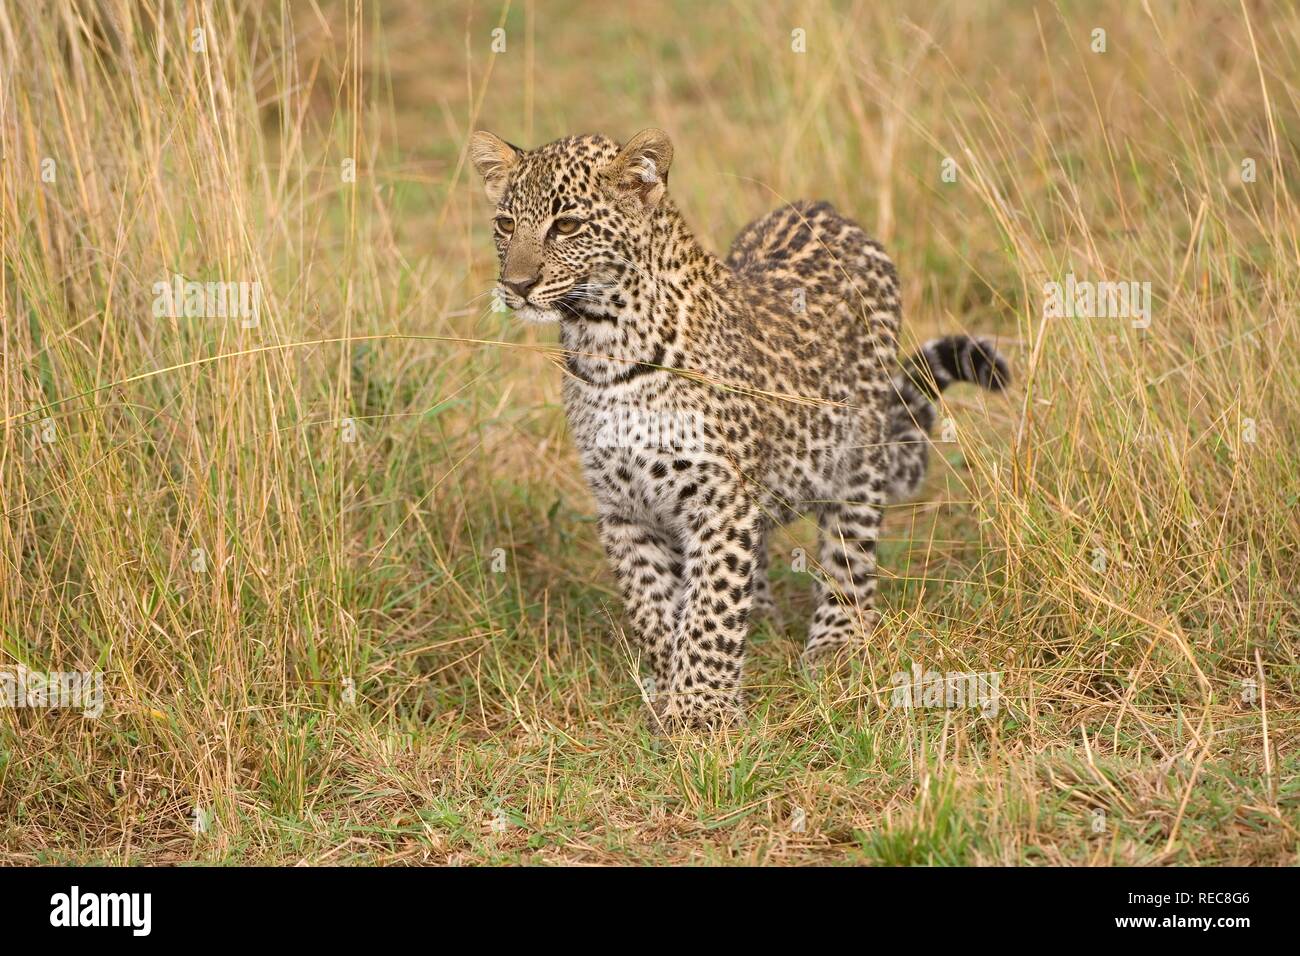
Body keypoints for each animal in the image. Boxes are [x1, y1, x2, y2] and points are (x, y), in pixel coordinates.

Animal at [470, 128, 1009, 731]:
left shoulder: (719, 498)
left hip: (859, 450)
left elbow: (709, 608)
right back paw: (766, 621)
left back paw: (837, 642)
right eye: (504, 224)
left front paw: (700, 713)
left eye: (566, 225)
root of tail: (824, 208)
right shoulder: (623, 508)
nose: (516, 285)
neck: (603, 347)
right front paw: (671, 689)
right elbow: (654, 606)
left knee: (850, 548)